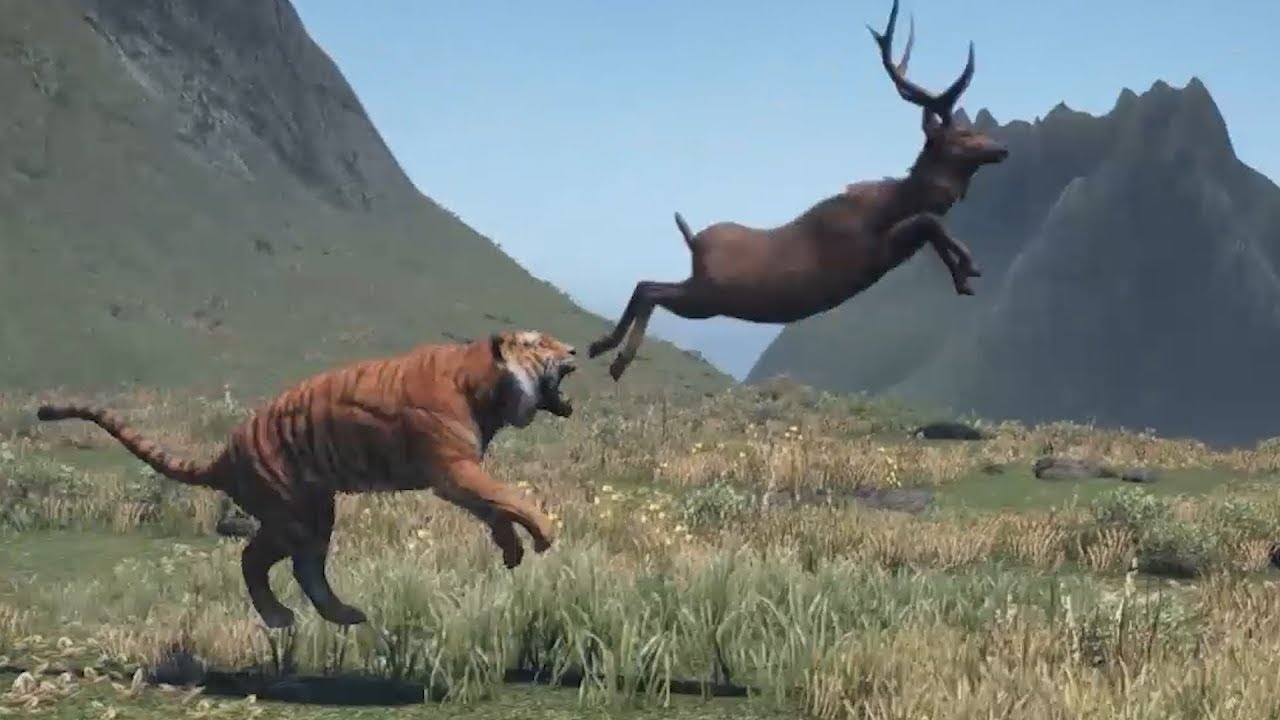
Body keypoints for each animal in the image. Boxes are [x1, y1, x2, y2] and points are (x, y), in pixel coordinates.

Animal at [36, 330, 578, 629]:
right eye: (539, 343)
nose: (574, 349)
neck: (487, 388)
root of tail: (226, 453)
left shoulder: (458, 475)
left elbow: (496, 509)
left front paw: (513, 551)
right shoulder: (453, 470)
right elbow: (507, 496)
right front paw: (546, 532)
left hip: (315, 512)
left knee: (303, 569)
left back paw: (345, 615)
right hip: (293, 516)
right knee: (256, 559)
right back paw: (282, 619)